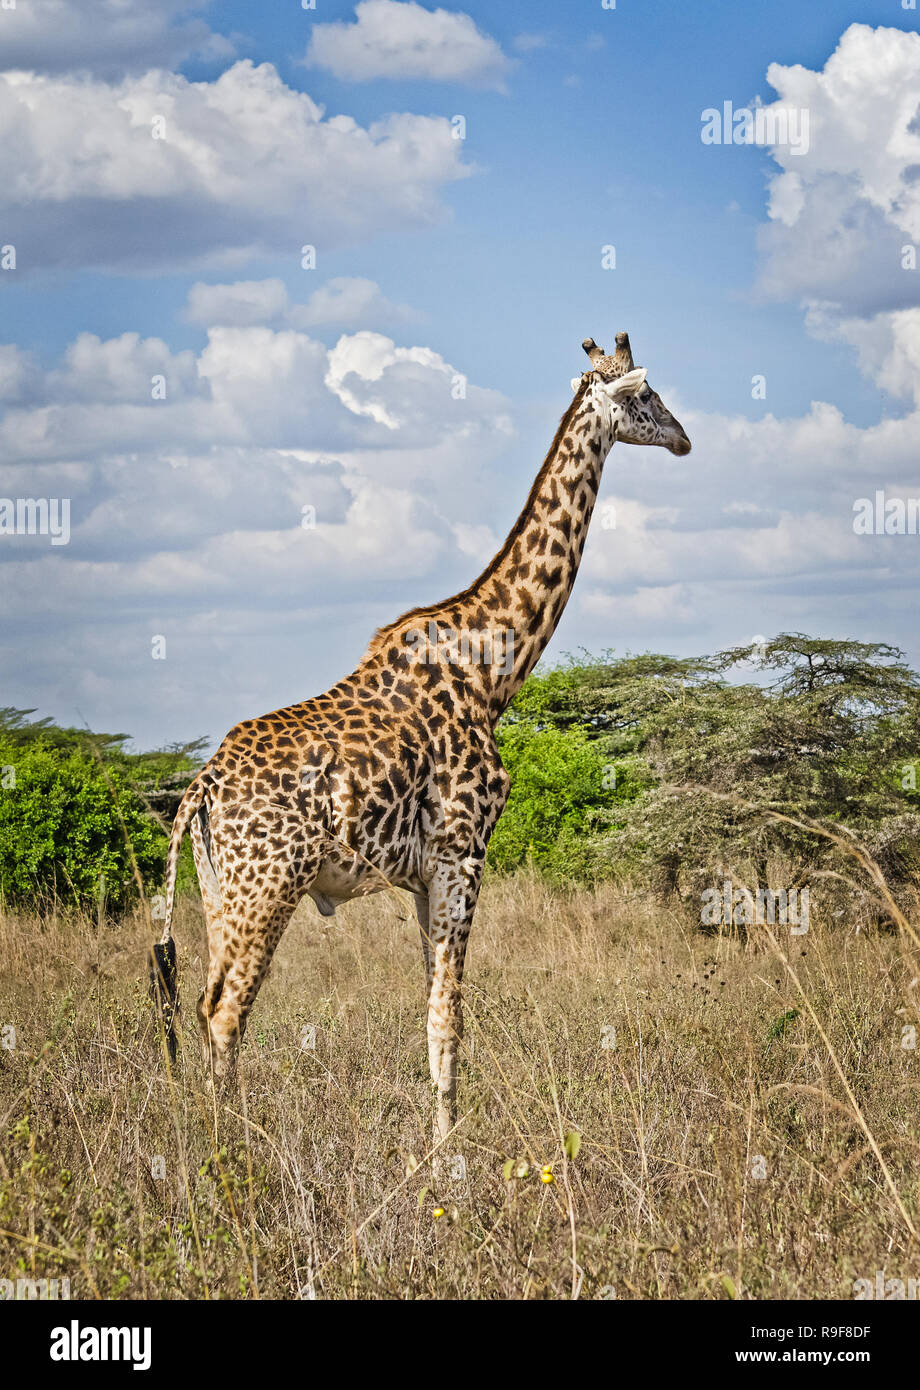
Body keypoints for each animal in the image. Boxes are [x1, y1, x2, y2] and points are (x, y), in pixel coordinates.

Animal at [152, 333, 691, 1144]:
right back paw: (233, 1153)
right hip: (266, 888)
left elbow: (429, 1010)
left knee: (203, 1003)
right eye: (648, 396)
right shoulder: (462, 855)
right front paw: (449, 1154)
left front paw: (441, 1141)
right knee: (223, 1013)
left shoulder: (420, 877)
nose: (685, 438)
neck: (494, 667)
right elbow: (449, 1019)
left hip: (219, 891)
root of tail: (202, 788)